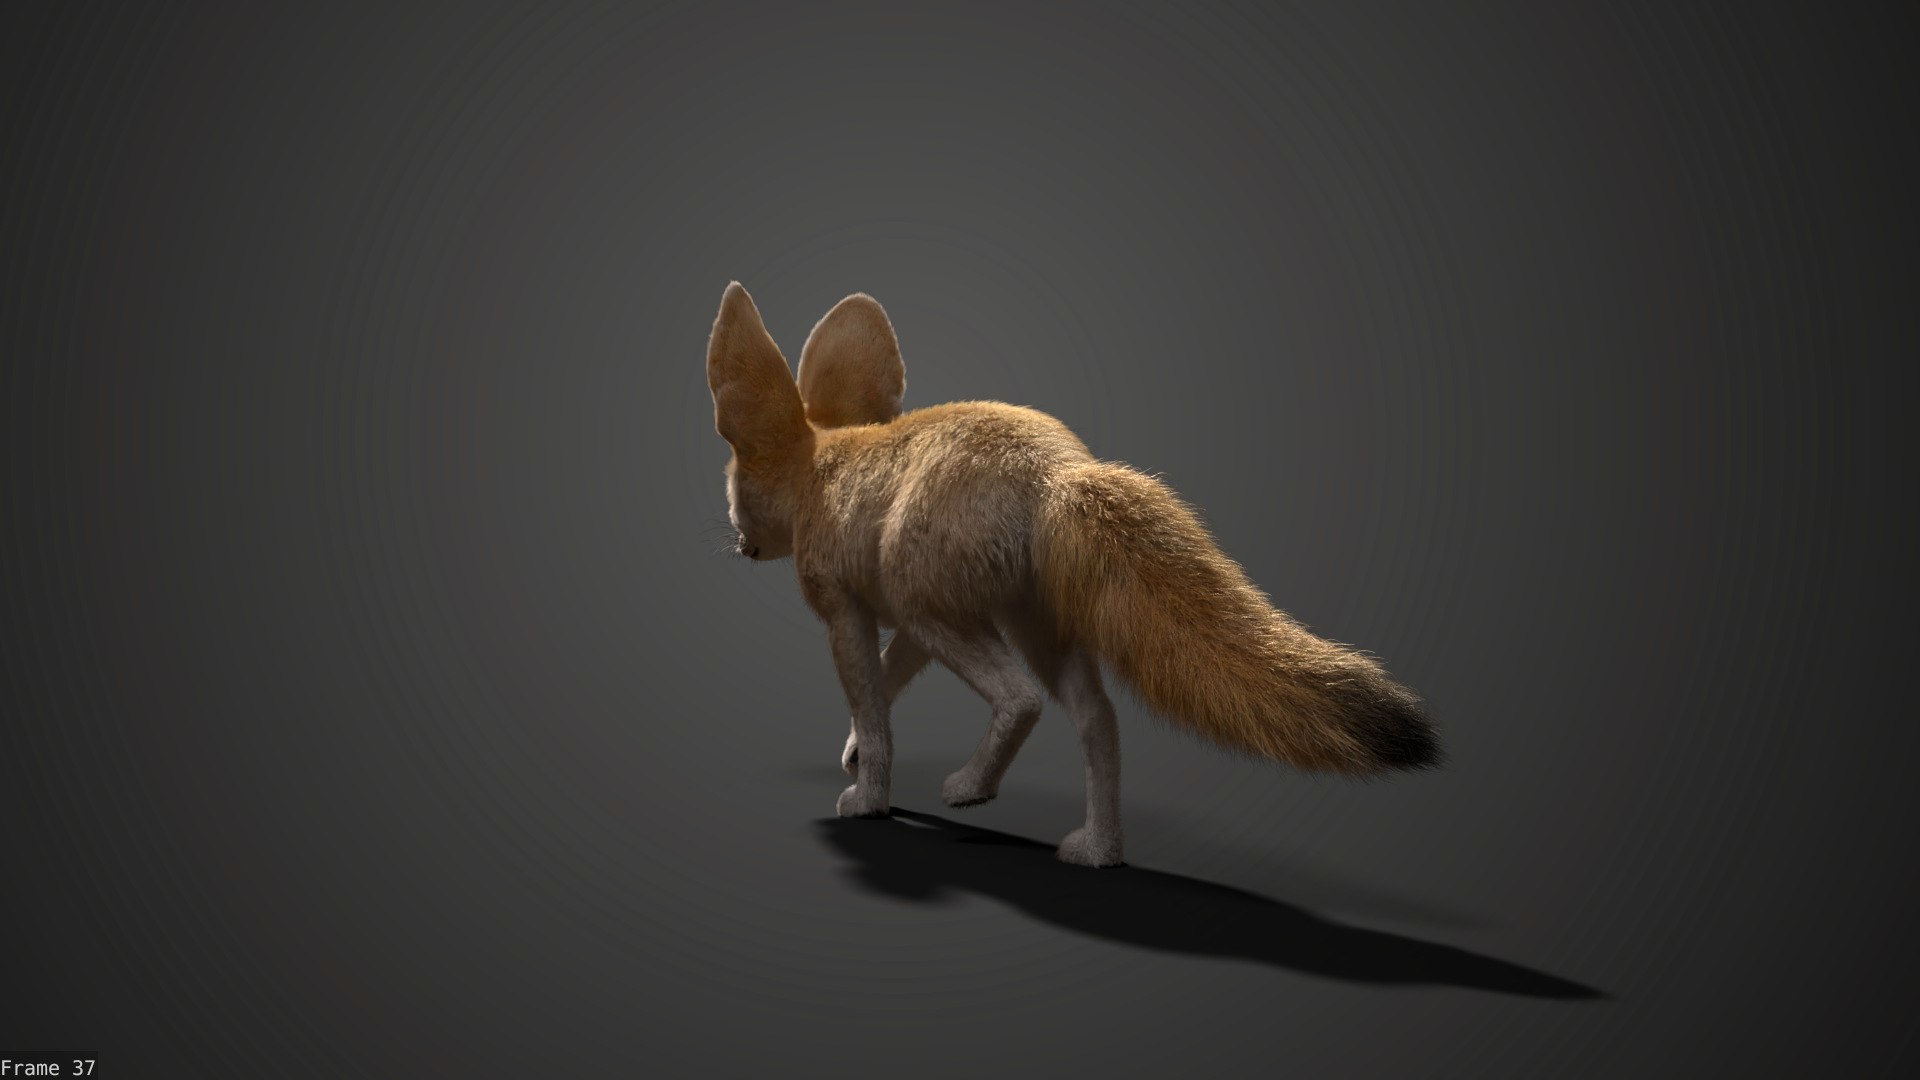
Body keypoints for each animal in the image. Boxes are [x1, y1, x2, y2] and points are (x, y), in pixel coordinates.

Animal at [706, 282, 1440, 867]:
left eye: (732, 485)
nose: (737, 541)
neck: (819, 473)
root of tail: (1059, 472)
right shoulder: (904, 630)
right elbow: (884, 692)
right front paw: (855, 751)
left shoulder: (849, 615)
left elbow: (875, 706)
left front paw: (867, 796)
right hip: (1032, 629)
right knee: (1099, 722)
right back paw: (1098, 852)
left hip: (941, 611)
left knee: (1021, 700)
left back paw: (971, 790)